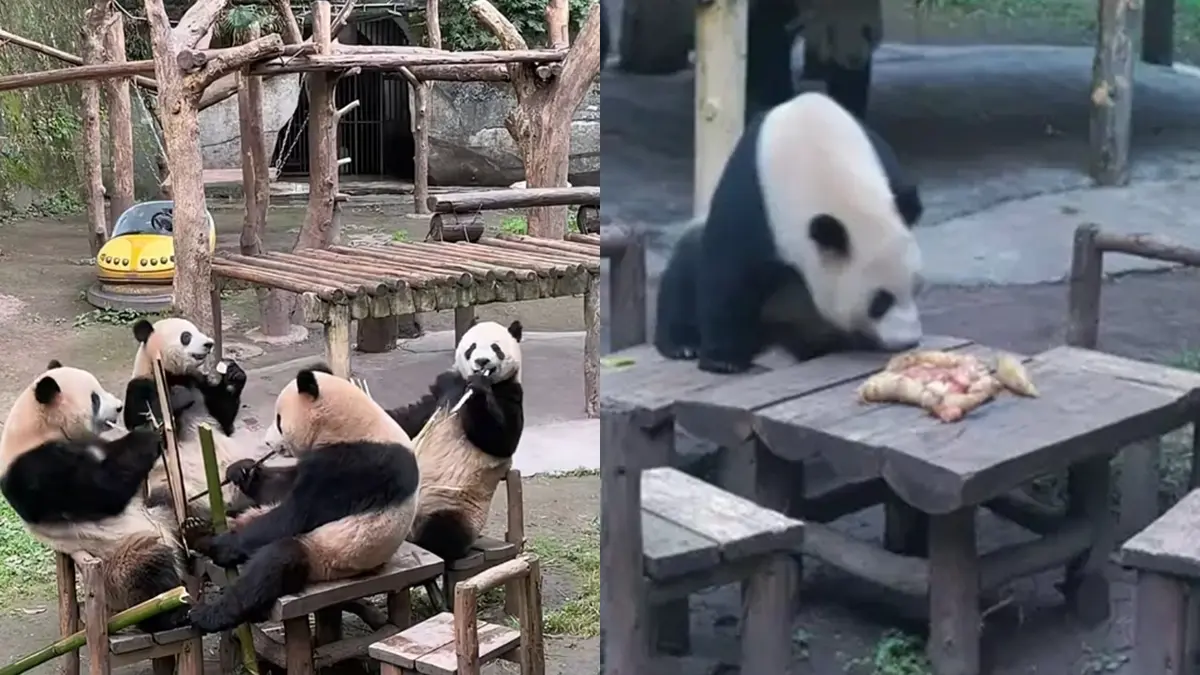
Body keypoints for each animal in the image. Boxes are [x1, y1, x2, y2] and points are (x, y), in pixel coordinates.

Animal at [0, 361, 190, 632]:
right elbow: (102, 491)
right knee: (148, 572)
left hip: (159, 512)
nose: (118, 406)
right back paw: (170, 613)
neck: (39, 429)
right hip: (120, 556)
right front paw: (147, 434)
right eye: (95, 398)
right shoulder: (35, 470)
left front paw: (159, 403)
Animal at [123, 317, 252, 513]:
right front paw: (178, 396)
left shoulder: (199, 383)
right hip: (170, 483)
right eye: (186, 336)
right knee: (168, 498)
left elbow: (223, 418)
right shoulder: (142, 386)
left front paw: (233, 376)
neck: (172, 374)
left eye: (197, 330)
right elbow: (142, 428)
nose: (209, 343)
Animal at [181, 365, 421, 633]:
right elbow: (282, 487)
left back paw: (207, 610)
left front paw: (222, 546)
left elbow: (296, 513)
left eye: (279, 420)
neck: (352, 425)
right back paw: (197, 530)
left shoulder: (358, 464)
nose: (267, 442)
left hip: (331, 556)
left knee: (276, 562)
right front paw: (242, 471)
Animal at [387, 319, 524, 562]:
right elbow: (411, 418)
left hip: (457, 504)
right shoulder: (442, 390)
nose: (481, 362)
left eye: (496, 348)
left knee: (445, 532)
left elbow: (501, 438)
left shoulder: (510, 391)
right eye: (472, 347)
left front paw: (478, 389)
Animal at [655, 91, 925, 374]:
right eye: (879, 302)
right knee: (685, 269)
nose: (907, 340)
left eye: (916, 286)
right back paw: (684, 345)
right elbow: (728, 272)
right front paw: (723, 360)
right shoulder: (753, 201)